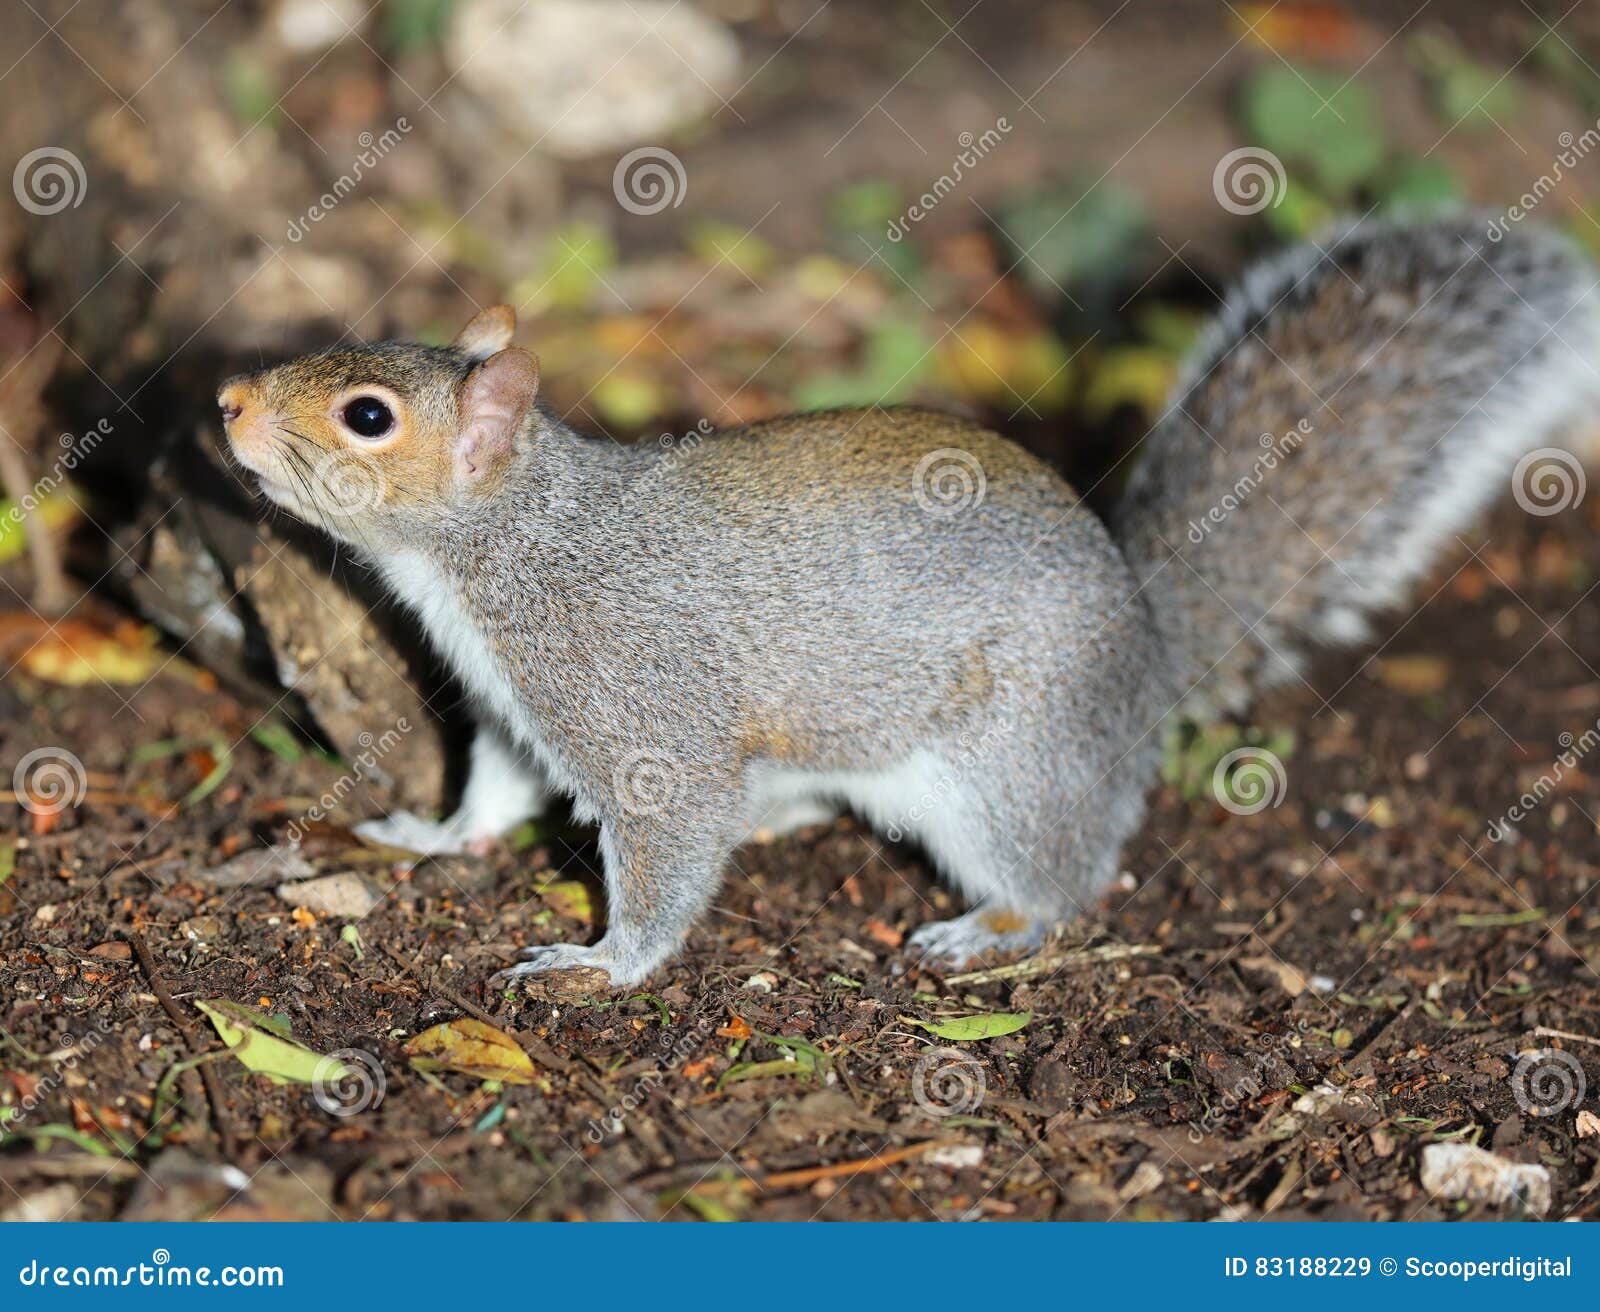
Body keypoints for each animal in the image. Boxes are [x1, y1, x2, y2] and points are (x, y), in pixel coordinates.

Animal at [218, 216, 1600, 988]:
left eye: (367, 416)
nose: (225, 401)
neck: (513, 546)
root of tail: (1146, 649)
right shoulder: (519, 712)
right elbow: (494, 794)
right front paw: (429, 838)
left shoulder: (641, 709)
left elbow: (668, 851)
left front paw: (602, 963)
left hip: (1008, 766)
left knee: (1065, 876)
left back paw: (986, 928)